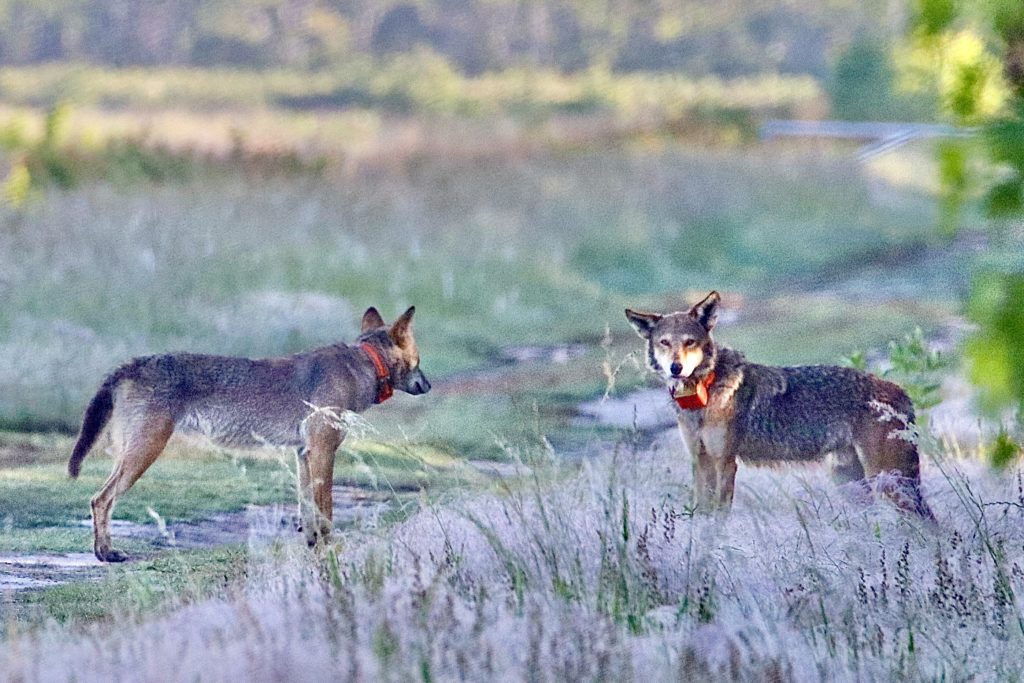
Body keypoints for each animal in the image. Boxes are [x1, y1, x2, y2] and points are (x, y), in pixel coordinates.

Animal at [68, 306, 431, 561]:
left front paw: (312, 545)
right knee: (100, 499)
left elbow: (307, 511)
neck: (364, 364)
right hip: (144, 453)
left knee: (98, 500)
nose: (428, 385)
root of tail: (130, 364)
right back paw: (107, 554)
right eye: (420, 361)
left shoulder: (304, 453)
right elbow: (325, 510)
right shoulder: (323, 451)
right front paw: (330, 548)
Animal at [625, 291, 934, 519]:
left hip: (890, 483)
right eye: (665, 343)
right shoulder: (700, 461)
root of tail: (901, 391)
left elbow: (719, 518)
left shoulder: (725, 463)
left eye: (690, 342)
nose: (676, 368)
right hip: (851, 483)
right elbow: (702, 514)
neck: (704, 392)